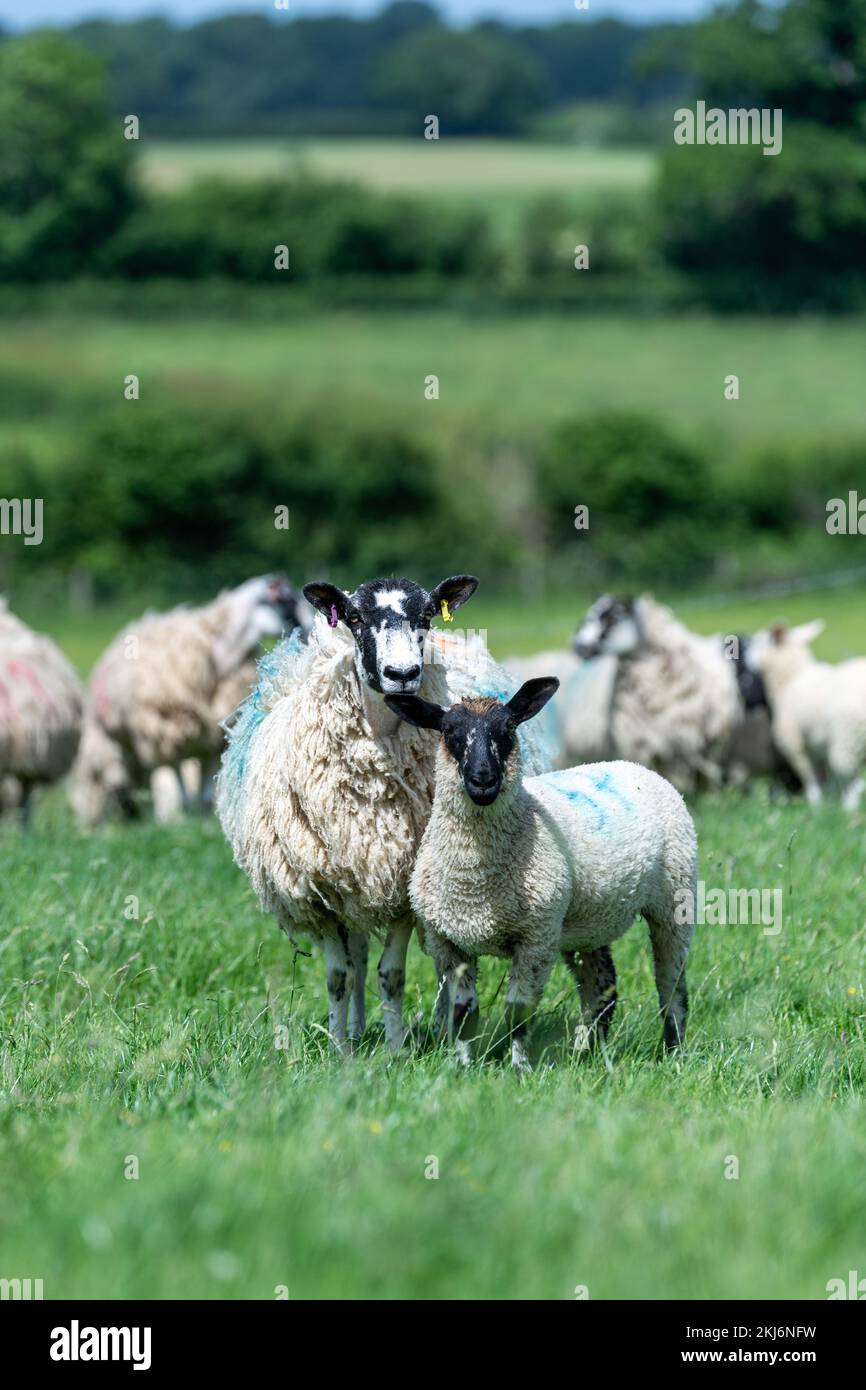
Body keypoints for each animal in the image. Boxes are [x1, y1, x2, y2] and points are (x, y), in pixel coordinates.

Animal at [72, 576, 306, 825]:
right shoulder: (170, 739)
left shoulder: (213, 741)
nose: (308, 631)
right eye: (288, 601)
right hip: (119, 742)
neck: (221, 648)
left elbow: (205, 798)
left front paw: (203, 822)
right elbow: (183, 795)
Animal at [216, 574, 552, 1054]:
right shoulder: (322, 891)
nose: (402, 675)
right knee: (356, 956)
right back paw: (356, 1031)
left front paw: (395, 1051)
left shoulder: (401, 886)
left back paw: (441, 1026)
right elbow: (339, 977)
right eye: (355, 617)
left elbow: (391, 976)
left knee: (442, 963)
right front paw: (340, 1050)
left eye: (427, 614)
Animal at [385, 678, 698, 1070]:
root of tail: (634, 766)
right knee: (602, 987)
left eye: (507, 730)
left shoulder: (535, 937)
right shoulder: (448, 941)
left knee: (671, 985)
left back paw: (672, 1051)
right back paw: (588, 1054)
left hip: (674, 898)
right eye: (450, 732)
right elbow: (463, 1013)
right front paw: (461, 1068)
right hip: (584, 921)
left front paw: (520, 1069)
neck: (475, 880)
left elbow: (518, 1011)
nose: (483, 779)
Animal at [745, 619, 866, 808]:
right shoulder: (818, 744)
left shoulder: (795, 744)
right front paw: (829, 799)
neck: (791, 678)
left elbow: (810, 777)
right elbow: (826, 778)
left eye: (760, 641)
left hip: (847, 742)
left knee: (852, 781)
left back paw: (848, 807)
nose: (746, 655)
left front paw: (816, 803)